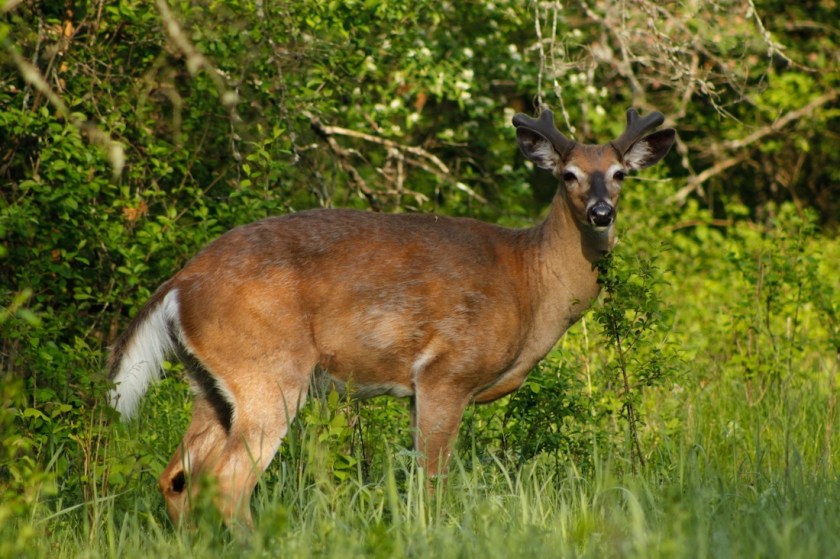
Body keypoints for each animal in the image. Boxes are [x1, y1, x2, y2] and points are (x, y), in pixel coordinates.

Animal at [108, 107, 675, 526]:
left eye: (620, 175)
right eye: (568, 174)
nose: (601, 213)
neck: (529, 283)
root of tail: (179, 284)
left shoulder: (416, 390)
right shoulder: (447, 371)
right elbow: (432, 483)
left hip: (208, 383)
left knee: (177, 477)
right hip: (269, 371)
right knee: (226, 483)